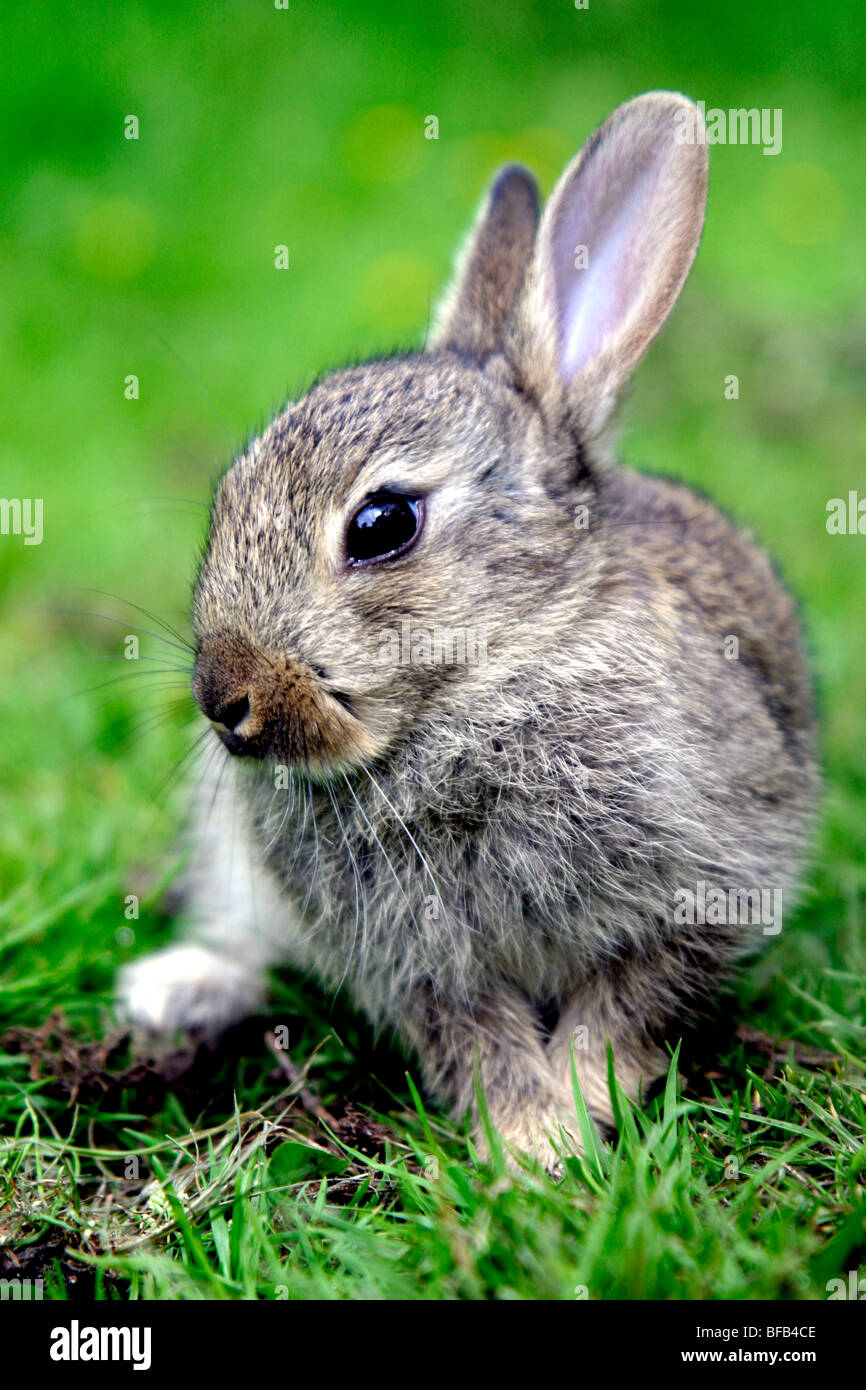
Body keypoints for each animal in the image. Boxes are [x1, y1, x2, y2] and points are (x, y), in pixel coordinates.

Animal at [118, 92, 819, 1174]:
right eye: (226, 499)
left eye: (383, 524)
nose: (221, 697)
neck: (486, 683)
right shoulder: (414, 959)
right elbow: (469, 1033)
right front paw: (530, 1142)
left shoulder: (702, 890)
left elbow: (627, 1008)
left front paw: (568, 1121)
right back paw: (176, 988)